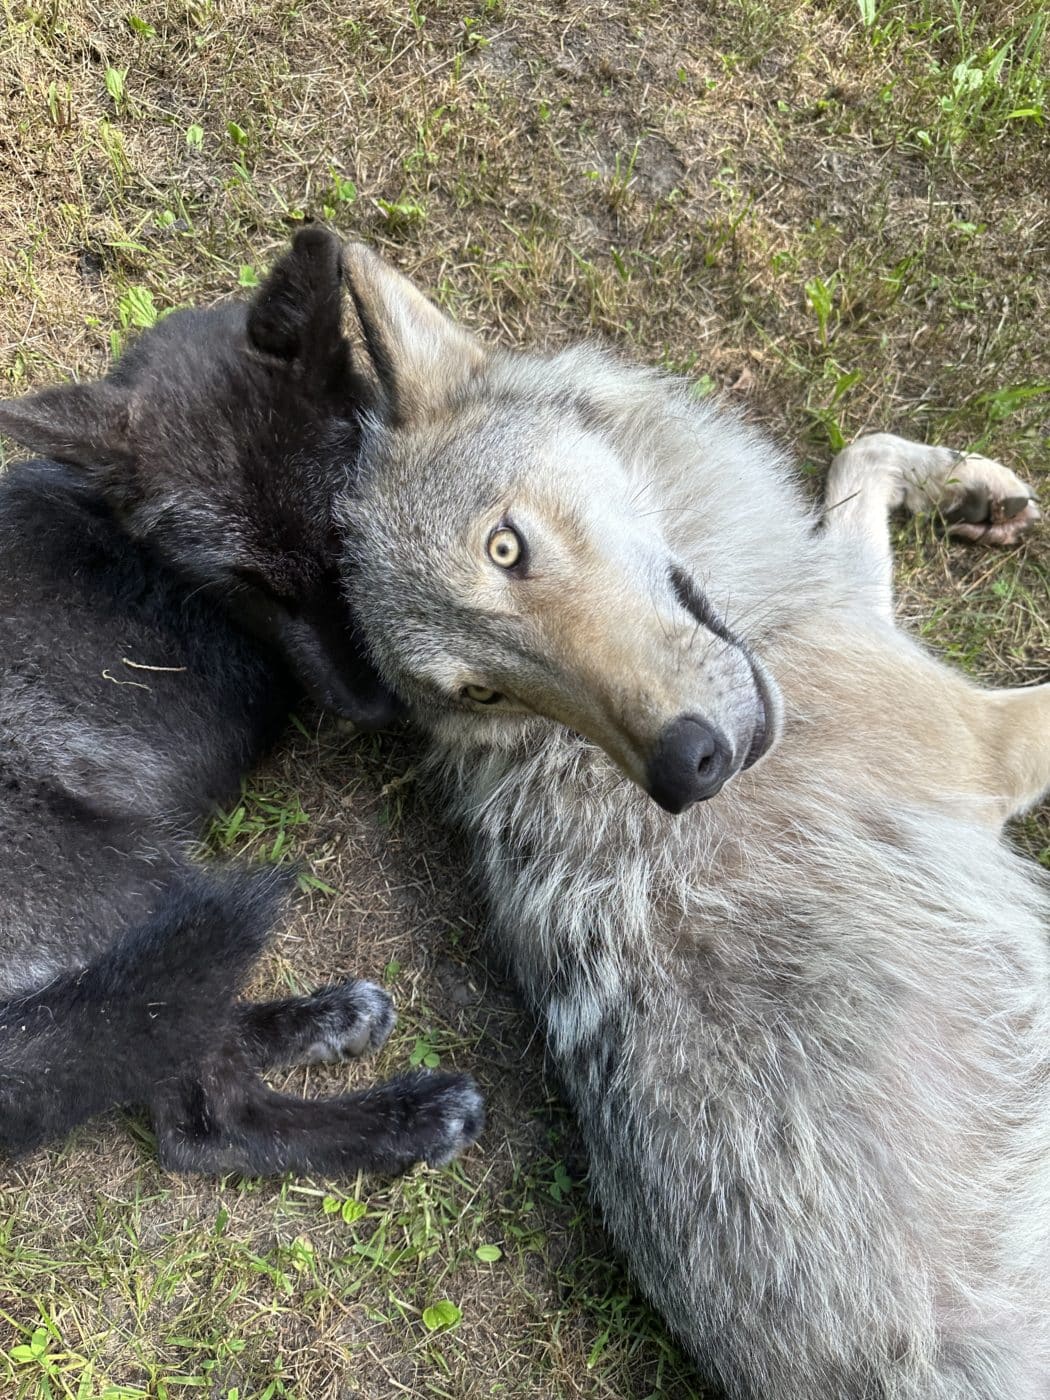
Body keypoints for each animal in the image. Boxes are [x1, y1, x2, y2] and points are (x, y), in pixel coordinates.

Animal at [0, 229, 481, 1175]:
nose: (373, 705)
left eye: (344, 533)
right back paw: (406, 1118)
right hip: (132, 876)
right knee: (203, 1118)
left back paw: (328, 1018)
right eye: (249, 584)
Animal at [333, 244, 1050, 1398]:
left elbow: (858, 457)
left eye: (505, 548)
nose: (686, 769)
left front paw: (964, 487)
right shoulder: (989, 743)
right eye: (486, 690)